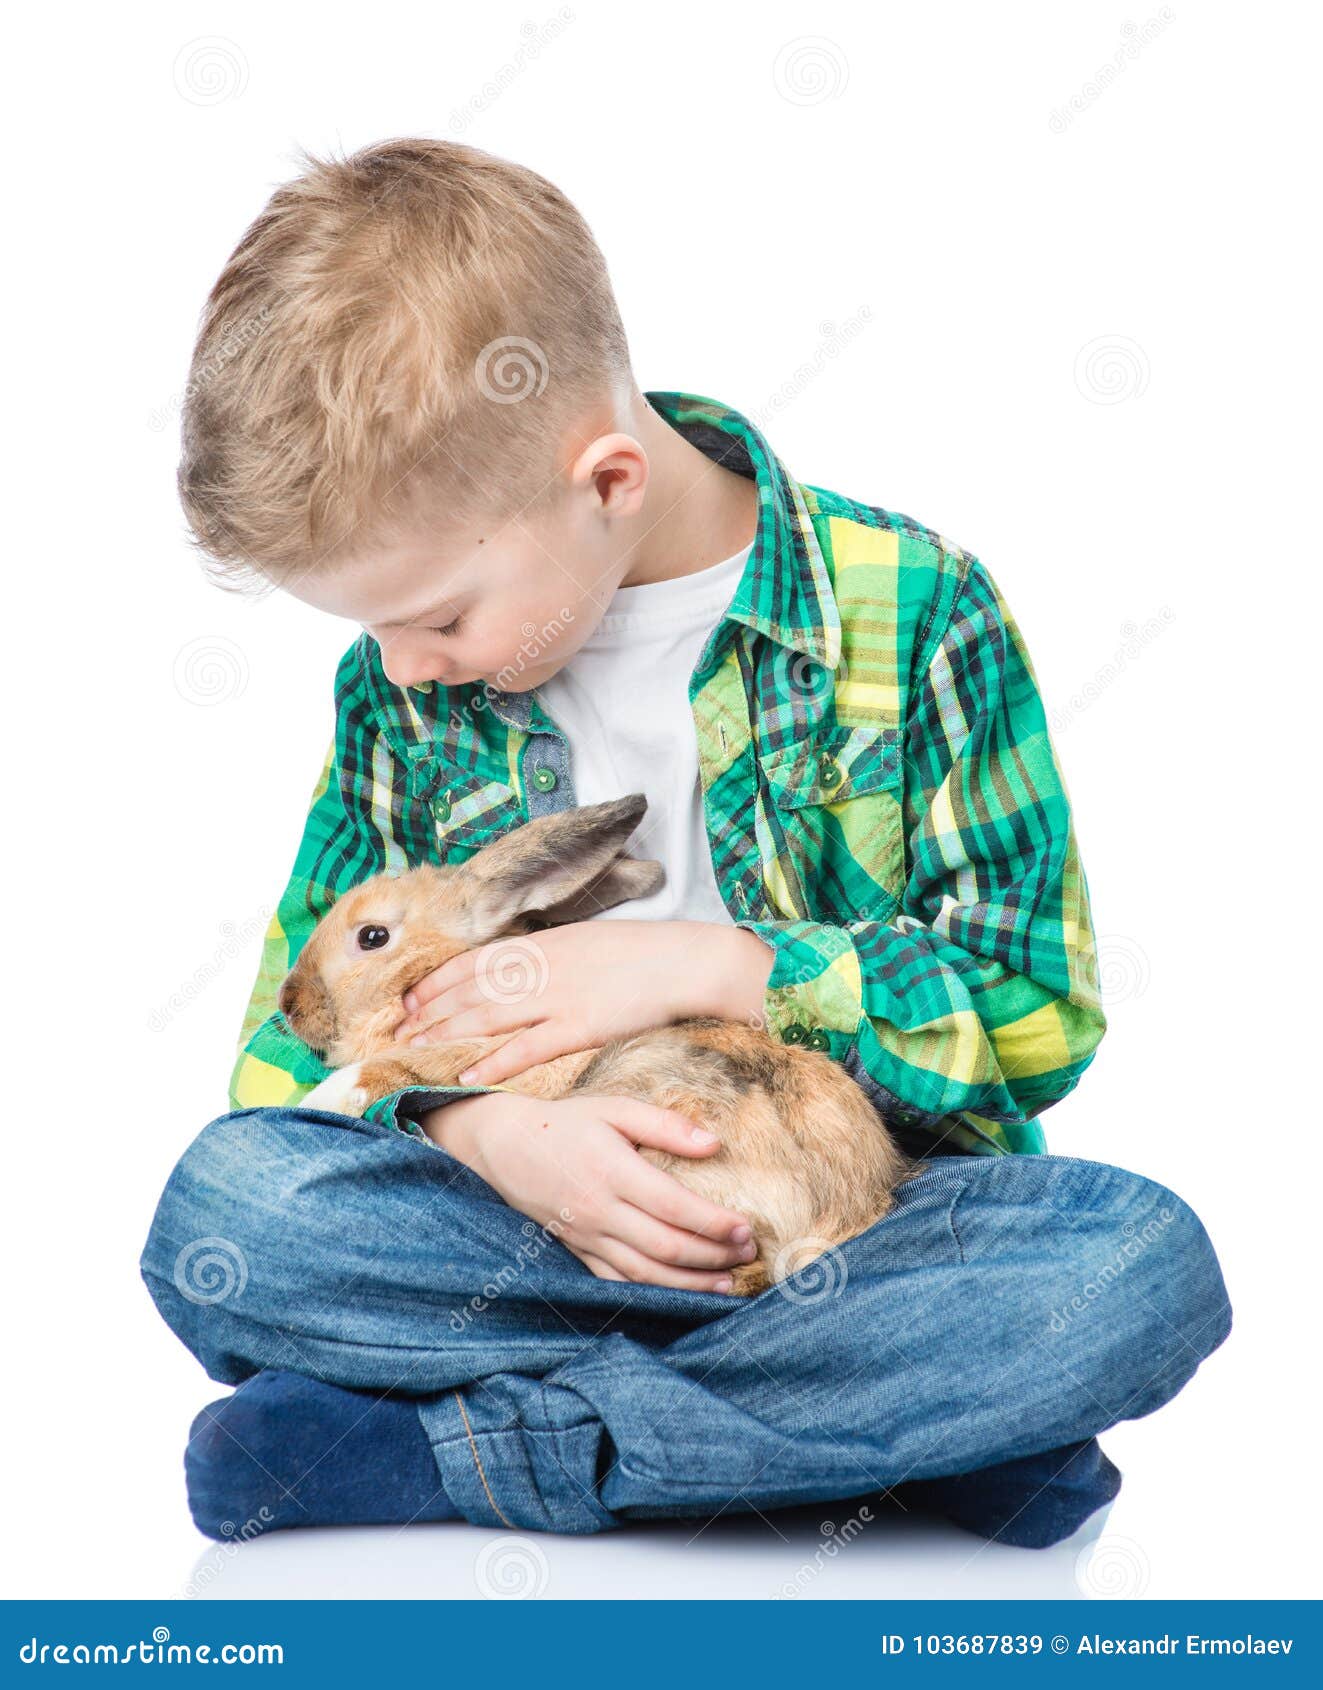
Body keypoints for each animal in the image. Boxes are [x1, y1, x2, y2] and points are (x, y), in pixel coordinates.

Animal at [284, 793, 911, 1294]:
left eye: (373, 937)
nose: (289, 1004)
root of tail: (830, 1220)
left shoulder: (463, 1053)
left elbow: (389, 1070)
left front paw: (320, 1101)